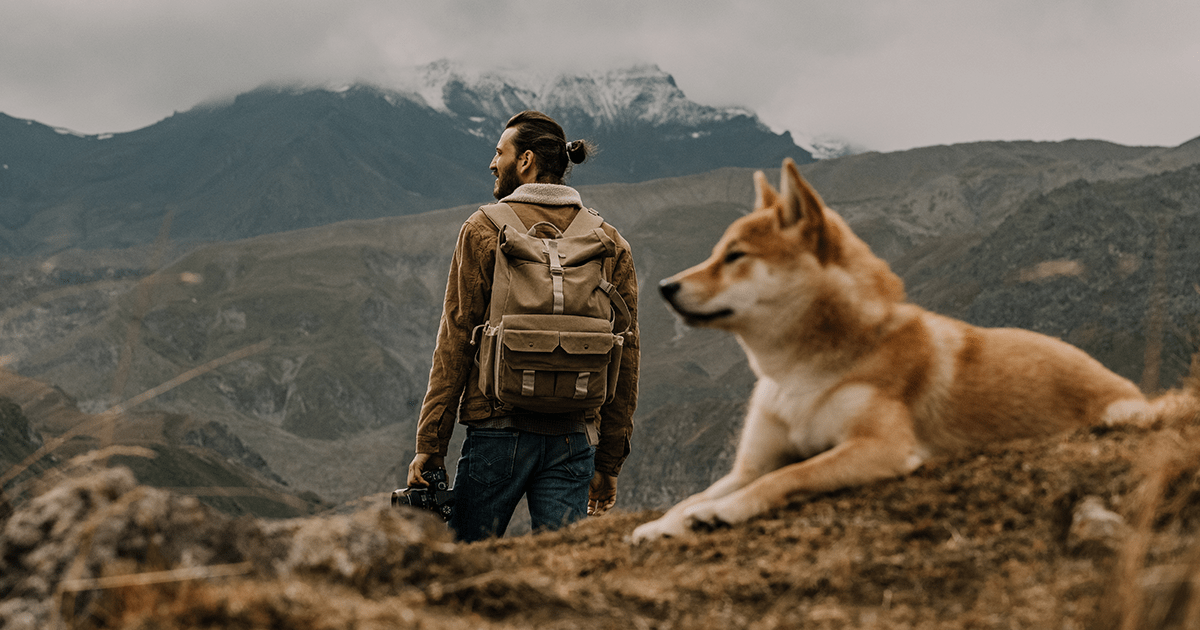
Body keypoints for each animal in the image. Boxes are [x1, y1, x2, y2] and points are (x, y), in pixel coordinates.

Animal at [628, 157, 1190, 540]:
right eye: (716, 251)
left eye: (736, 255)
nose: (664, 287)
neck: (798, 374)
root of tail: (1128, 387)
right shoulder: (749, 463)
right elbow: (699, 492)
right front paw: (666, 523)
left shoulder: (880, 446)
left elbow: (790, 474)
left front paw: (721, 512)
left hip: (1120, 414)